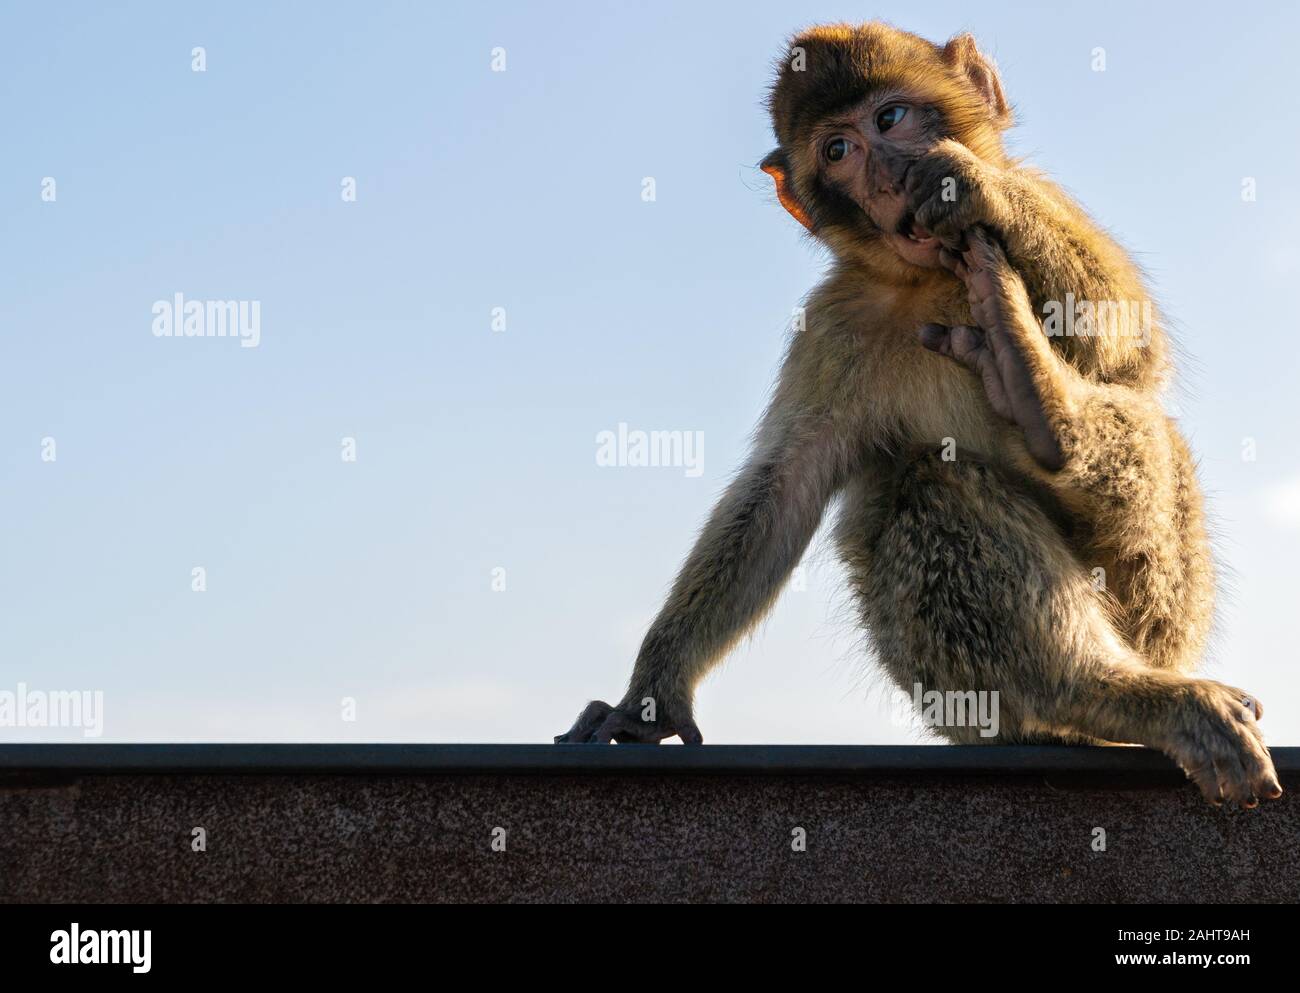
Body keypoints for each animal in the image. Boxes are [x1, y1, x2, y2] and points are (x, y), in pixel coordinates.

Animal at [556, 22, 1281, 808]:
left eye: (890, 118)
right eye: (837, 151)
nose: (882, 173)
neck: (925, 280)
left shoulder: (1048, 198)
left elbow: (1128, 343)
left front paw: (975, 188)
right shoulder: (831, 325)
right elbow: (782, 489)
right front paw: (650, 696)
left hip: (1161, 615)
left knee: (1144, 429)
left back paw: (1045, 411)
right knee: (913, 481)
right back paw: (1090, 688)